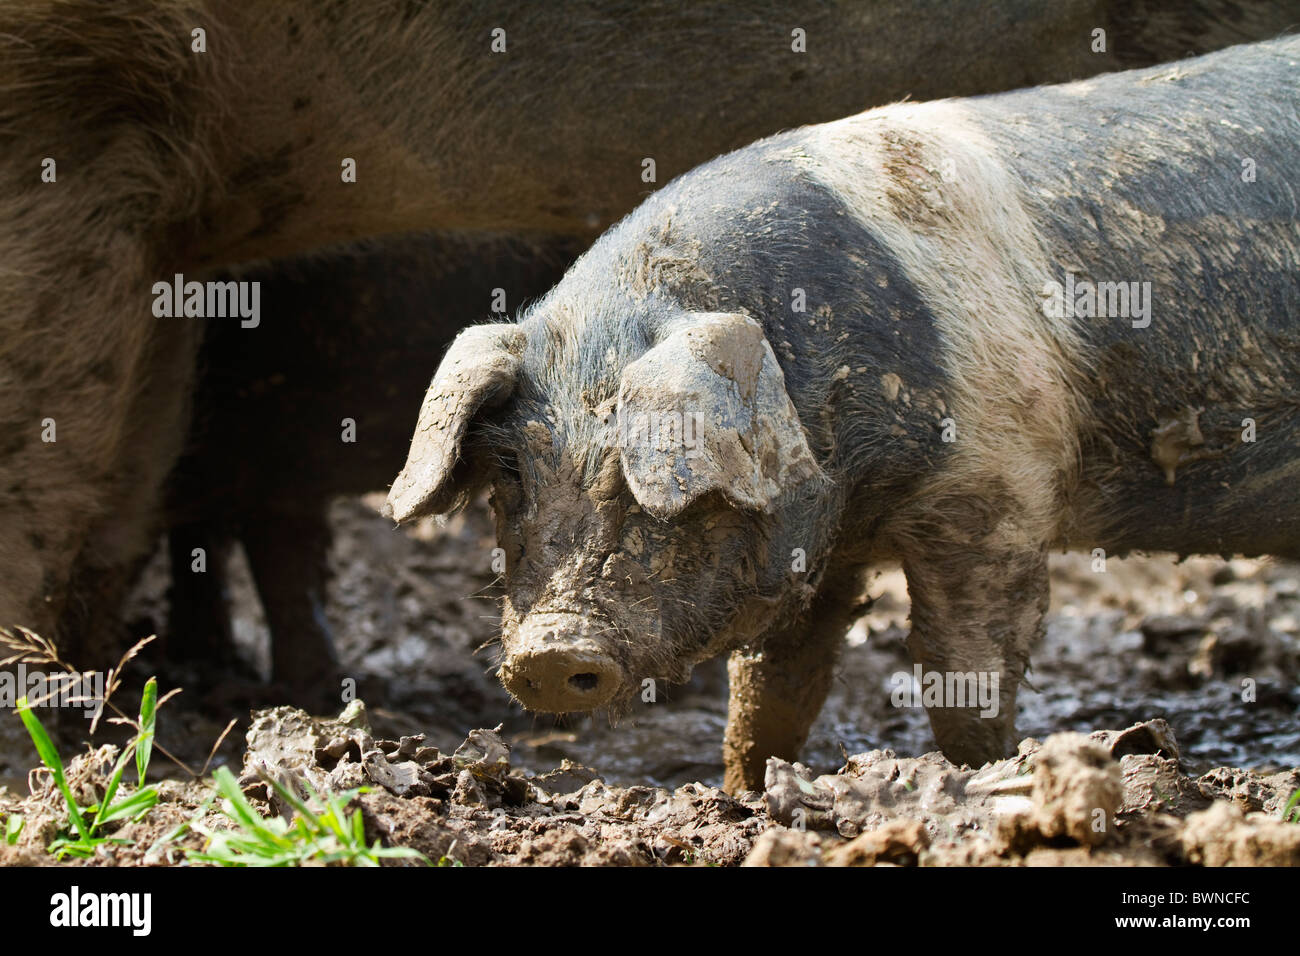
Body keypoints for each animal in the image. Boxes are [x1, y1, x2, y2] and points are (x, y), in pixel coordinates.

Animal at [386, 35, 1300, 792]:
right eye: (511, 476)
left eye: (659, 475)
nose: (549, 652)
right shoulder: (818, 542)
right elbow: (771, 690)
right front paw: (744, 792)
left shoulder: (1000, 488)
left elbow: (964, 668)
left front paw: (992, 776)